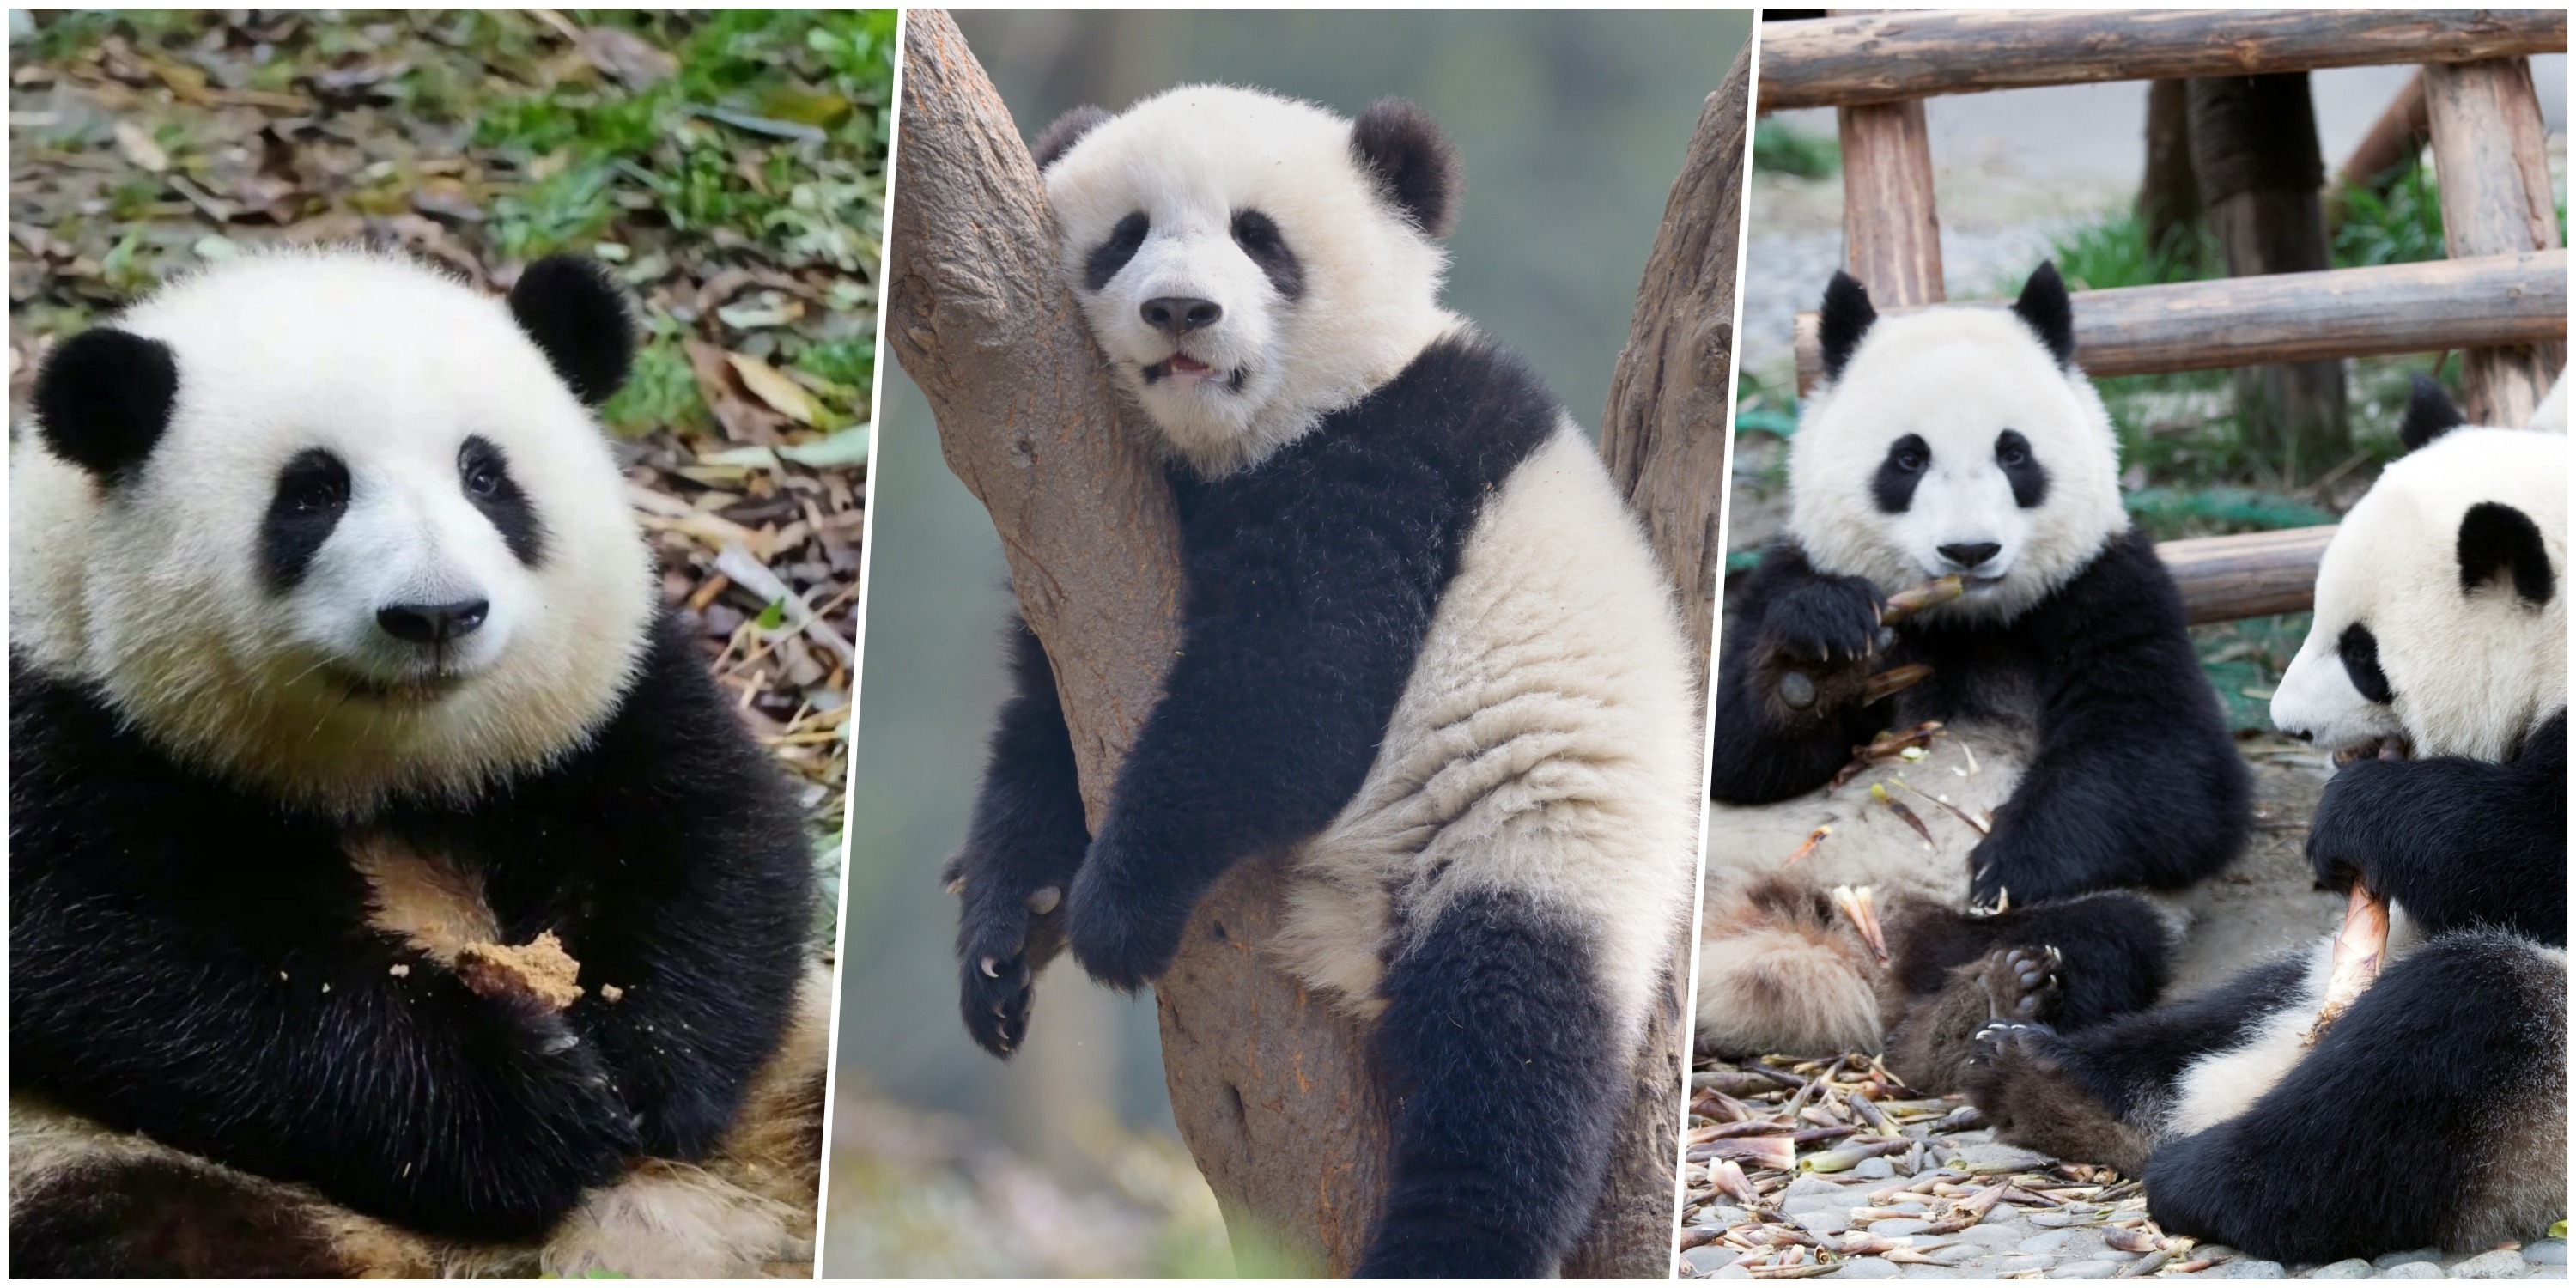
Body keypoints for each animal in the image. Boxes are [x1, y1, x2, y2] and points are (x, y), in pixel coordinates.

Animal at [9, 250, 825, 1276]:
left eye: (486, 476)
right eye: (311, 494)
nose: (436, 614)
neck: (390, 772)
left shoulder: (607, 699)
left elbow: (718, 841)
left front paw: (636, 1061)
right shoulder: (68, 725)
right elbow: (142, 960)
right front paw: (525, 1106)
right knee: (142, 1224)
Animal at [939, 86, 1701, 1277]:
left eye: (1260, 238)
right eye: (1127, 236)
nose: (1182, 311)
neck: (1239, 443)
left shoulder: (1394, 463)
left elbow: (1290, 700)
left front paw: (1115, 909)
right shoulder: (1076, 532)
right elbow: (1045, 726)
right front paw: (1006, 934)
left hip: (1538, 847)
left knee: (1511, 1061)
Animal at [1696, 265, 2251, 1083]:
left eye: (2014, 454)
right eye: (1907, 459)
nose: (1969, 551)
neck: (1966, 620)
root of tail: (1825, 935)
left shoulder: (2107, 588)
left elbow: (2178, 775)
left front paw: (2008, 861)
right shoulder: (1787, 574)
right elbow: (1735, 755)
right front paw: (1811, 667)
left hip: (1993, 917)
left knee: (2099, 934)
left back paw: (1976, 1010)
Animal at [1961, 378, 2566, 1263]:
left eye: (2362, 654)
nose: (2290, 726)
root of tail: (2247, 1083)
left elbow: (2533, 858)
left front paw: (2355, 817)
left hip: (2547, 1067)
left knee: (2436, 1050)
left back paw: (2205, 1179)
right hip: (2312, 977)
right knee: (2227, 1010)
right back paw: (2038, 1069)